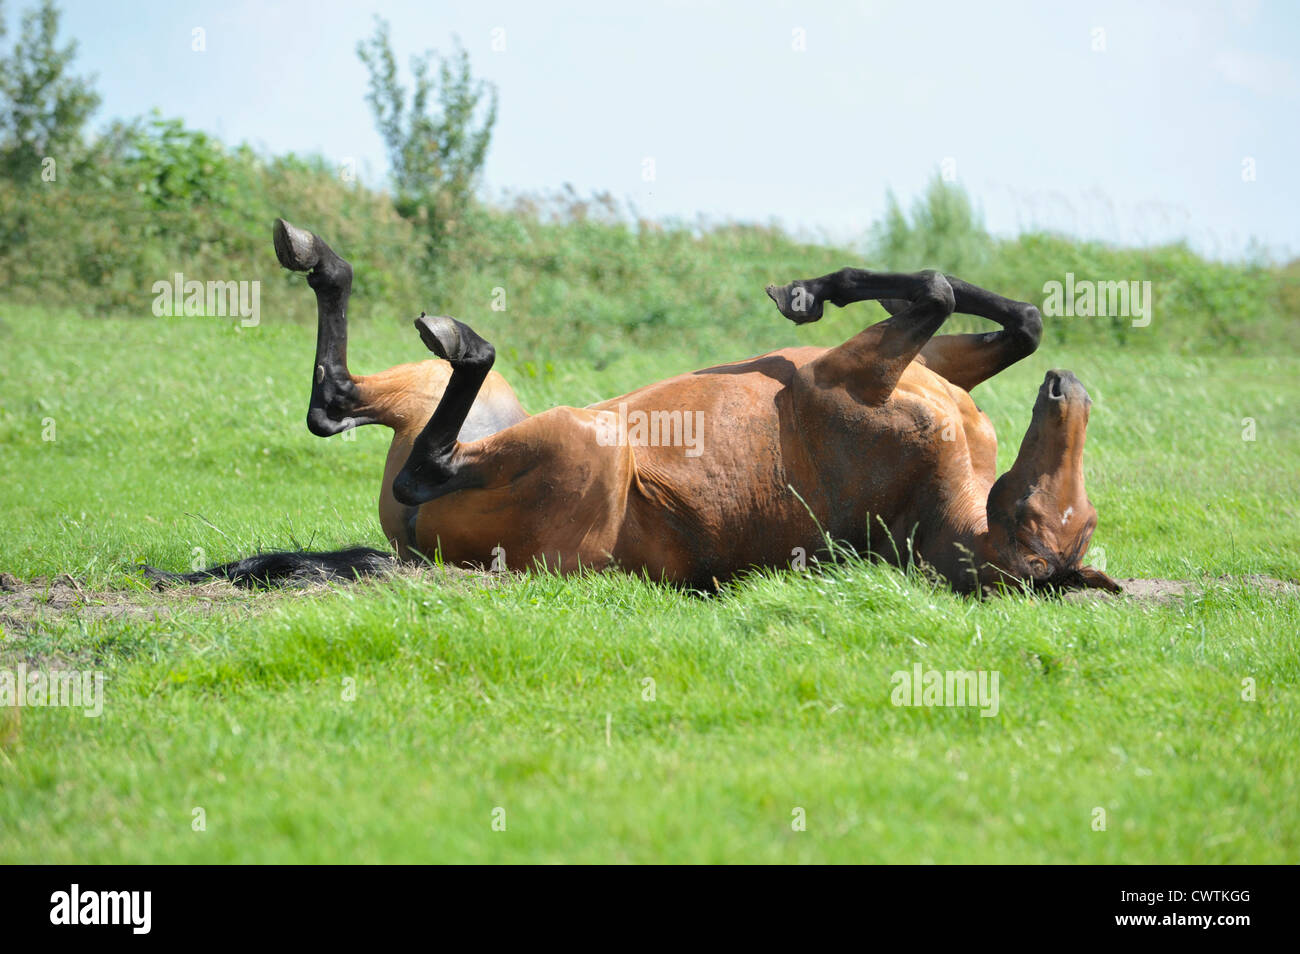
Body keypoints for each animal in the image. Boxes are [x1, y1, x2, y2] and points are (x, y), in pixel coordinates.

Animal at [148, 218, 1118, 595]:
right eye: (1061, 512)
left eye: (1035, 524)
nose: (1066, 392)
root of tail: (419, 556)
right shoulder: (933, 365)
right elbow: (1006, 311)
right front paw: (806, 291)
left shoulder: (861, 371)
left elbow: (935, 286)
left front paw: (806, 292)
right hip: (497, 413)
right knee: (342, 405)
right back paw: (321, 258)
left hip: (579, 444)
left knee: (397, 441)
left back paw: (448, 331)